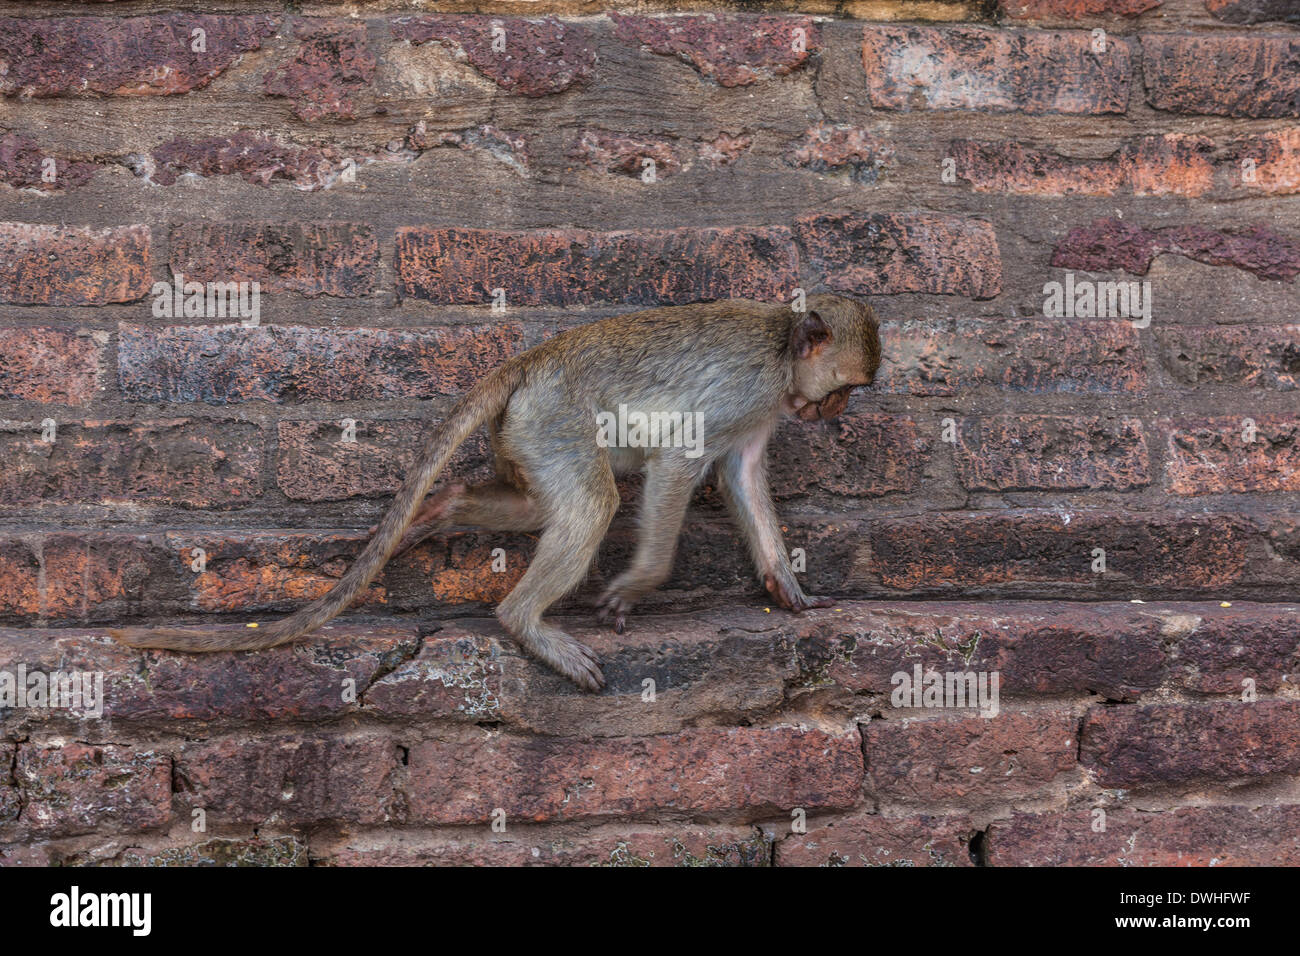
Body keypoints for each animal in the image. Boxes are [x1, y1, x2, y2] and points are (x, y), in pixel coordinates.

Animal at [109, 294, 882, 691]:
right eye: (844, 388)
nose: (836, 413)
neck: (782, 349)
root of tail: (532, 360)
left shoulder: (764, 410)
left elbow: (743, 477)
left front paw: (787, 587)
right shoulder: (744, 391)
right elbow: (677, 467)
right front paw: (637, 587)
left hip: (525, 432)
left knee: (542, 504)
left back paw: (442, 508)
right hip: (554, 417)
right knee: (592, 503)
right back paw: (523, 622)